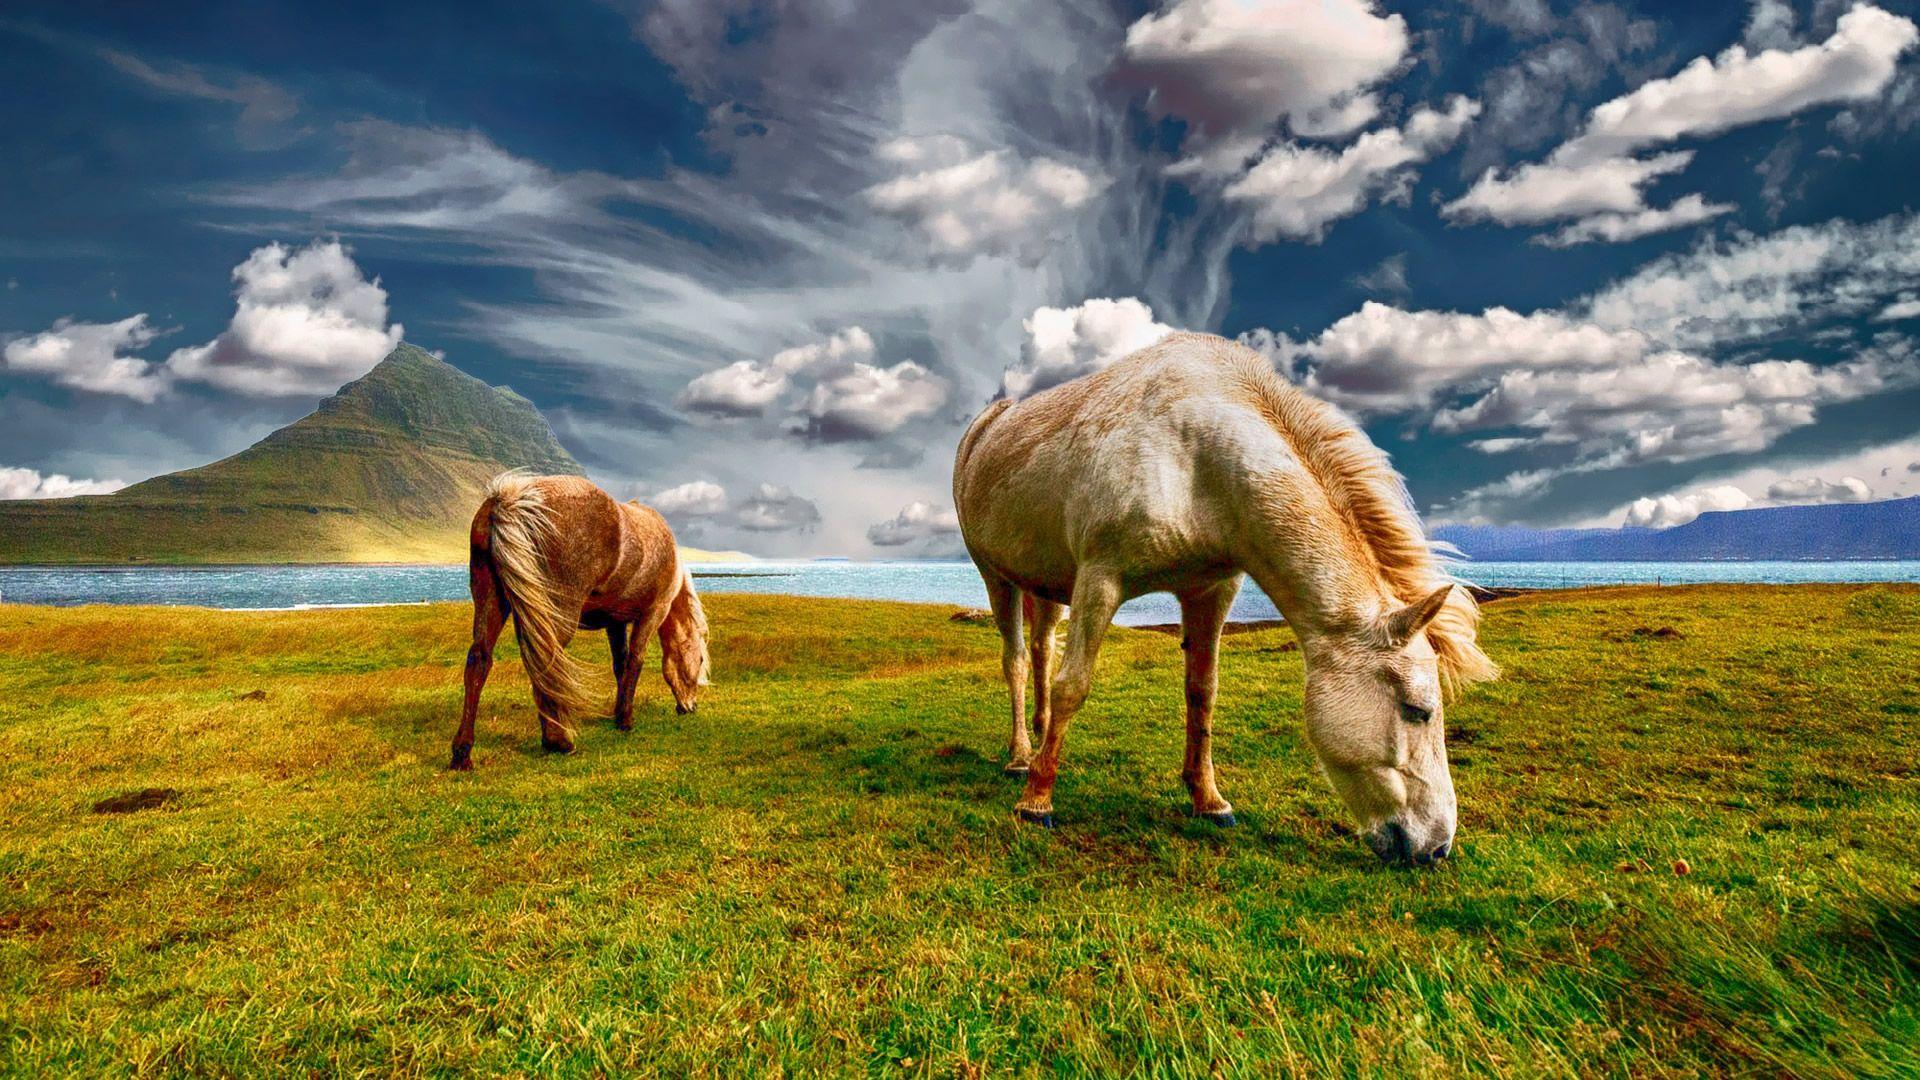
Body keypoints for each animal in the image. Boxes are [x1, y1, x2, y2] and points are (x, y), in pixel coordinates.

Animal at [449, 472, 710, 770]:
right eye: (700, 659)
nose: (690, 707)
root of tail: (511, 499)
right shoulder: (653, 612)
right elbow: (635, 662)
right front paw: (626, 720)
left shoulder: (615, 622)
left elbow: (620, 665)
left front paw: (617, 713)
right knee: (546, 663)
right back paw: (559, 741)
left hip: (492, 600)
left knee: (479, 660)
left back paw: (462, 753)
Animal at [952, 332, 1496, 865]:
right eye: (1417, 710)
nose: (1437, 846)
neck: (1198, 458)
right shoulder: (1099, 581)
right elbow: (1074, 686)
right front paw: (1037, 801)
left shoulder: (1210, 590)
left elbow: (1203, 693)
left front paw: (1208, 799)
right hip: (996, 576)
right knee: (1018, 661)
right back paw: (1022, 757)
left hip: (1047, 585)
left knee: (1043, 650)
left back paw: (1040, 740)